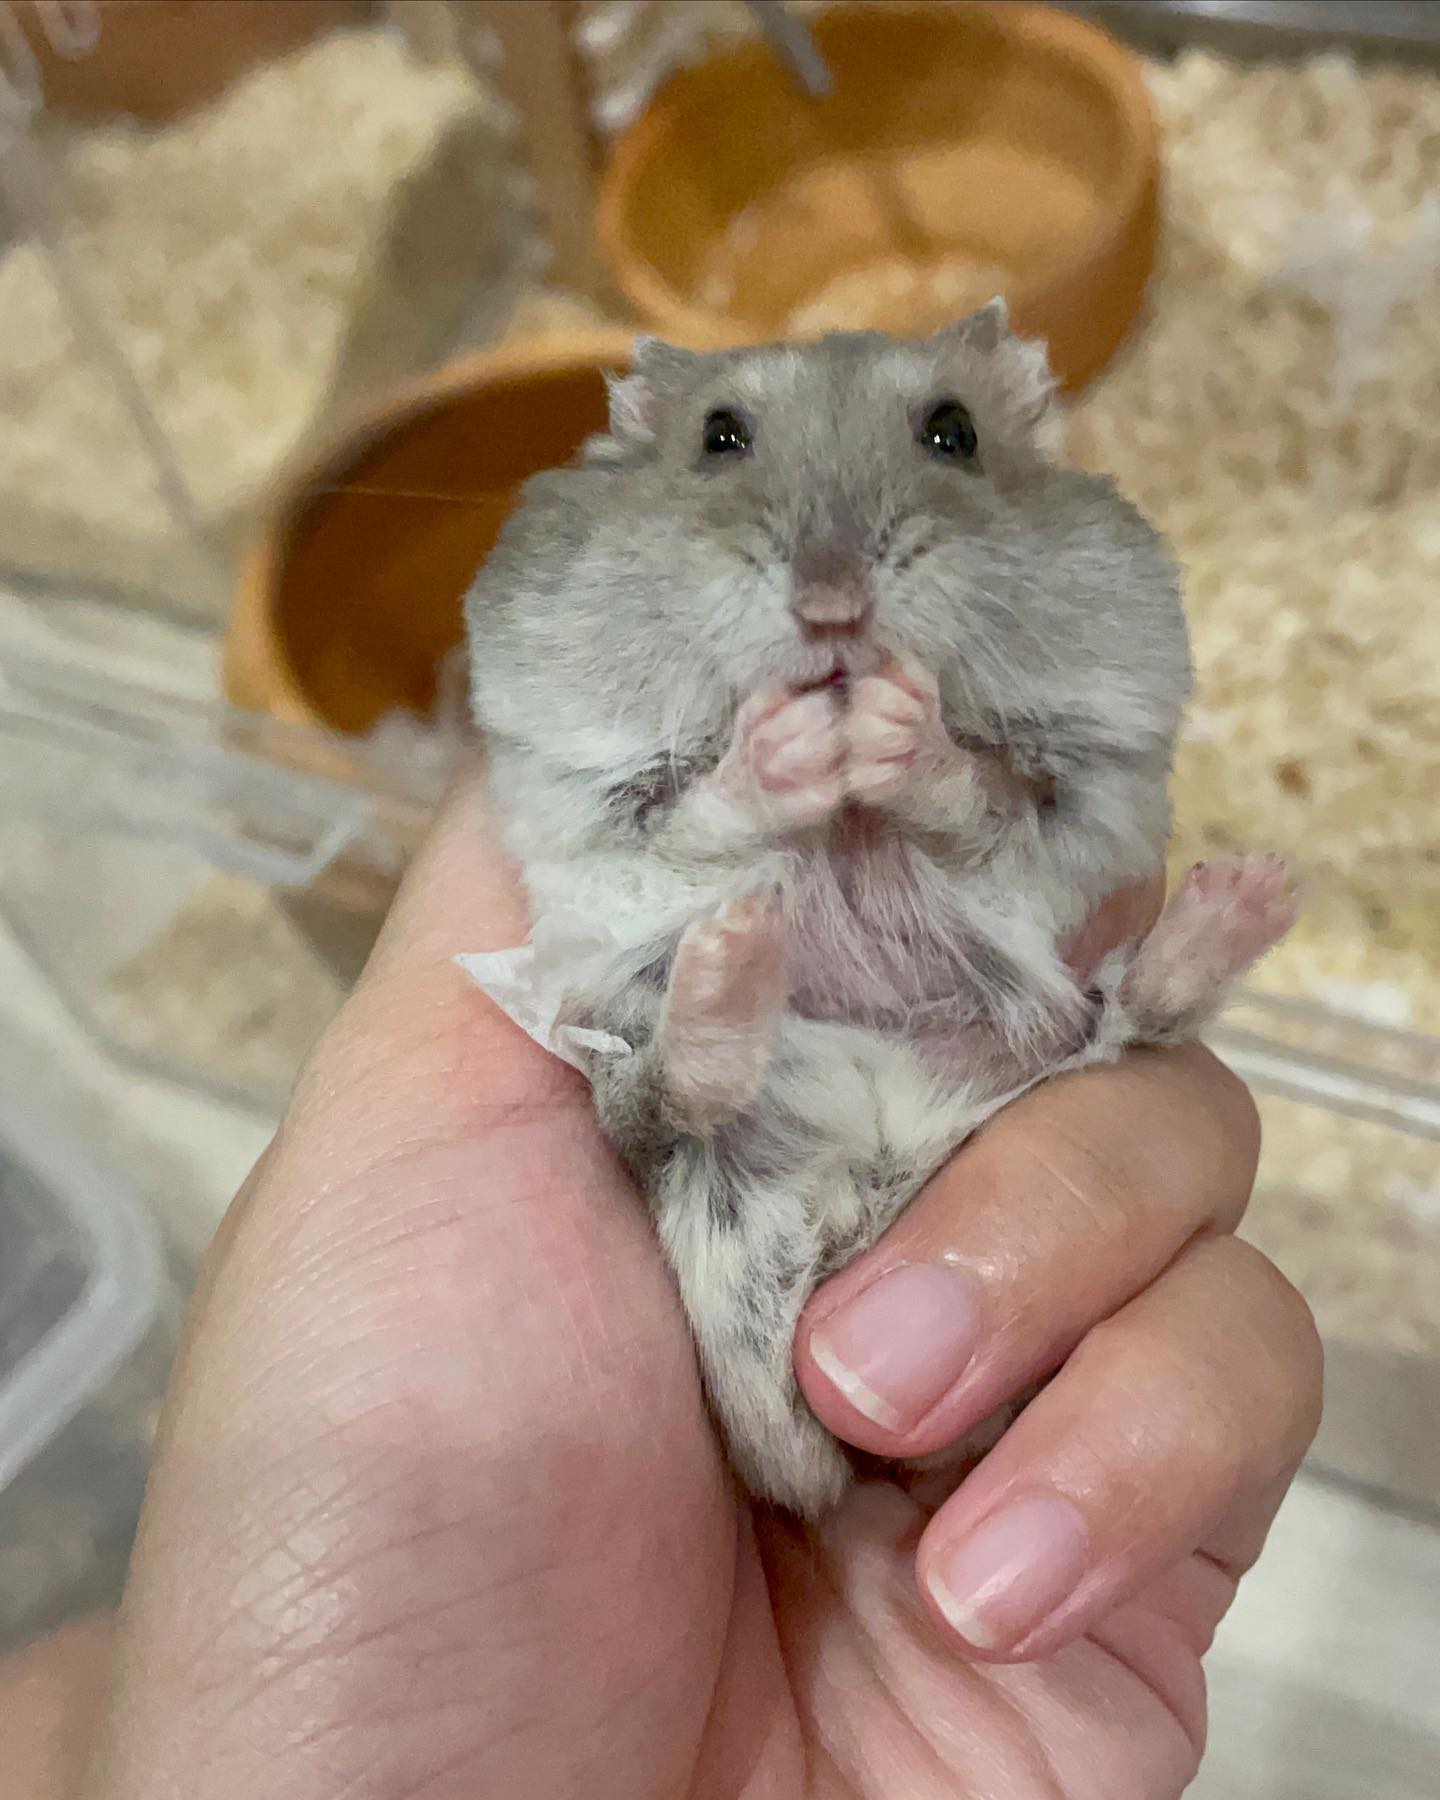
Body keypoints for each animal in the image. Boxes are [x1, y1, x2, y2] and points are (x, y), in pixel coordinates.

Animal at [465, 302, 1295, 1516]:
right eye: (719, 438)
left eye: (954, 433)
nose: (832, 606)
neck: (849, 820)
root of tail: (864, 1192)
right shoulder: (589, 784)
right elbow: (698, 808)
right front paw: (802, 738)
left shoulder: (1086, 772)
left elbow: (977, 798)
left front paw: (893, 722)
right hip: (640, 1079)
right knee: (672, 1099)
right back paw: (733, 962)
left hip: (1044, 1043)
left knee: (1126, 1017)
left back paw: (1245, 896)